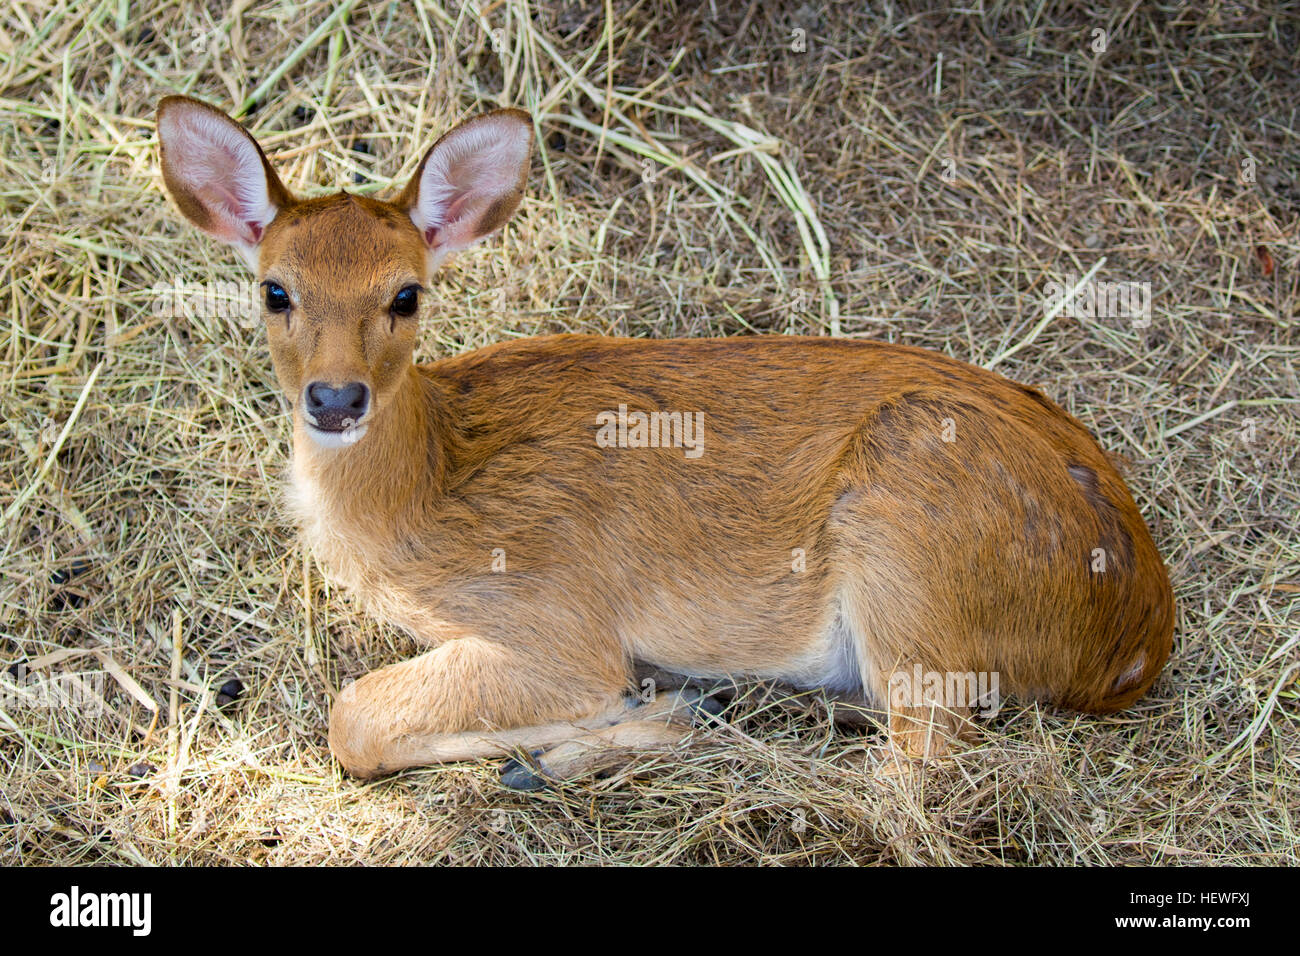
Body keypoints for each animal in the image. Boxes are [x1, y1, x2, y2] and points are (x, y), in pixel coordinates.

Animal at [155, 95, 1175, 787]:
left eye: (406, 294)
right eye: (275, 289)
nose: (335, 398)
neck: (427, 490)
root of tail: (1137, 632)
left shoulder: (551, 621)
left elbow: (354, 718)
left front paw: (625, 714)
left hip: (914, 553)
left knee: (918, 767)